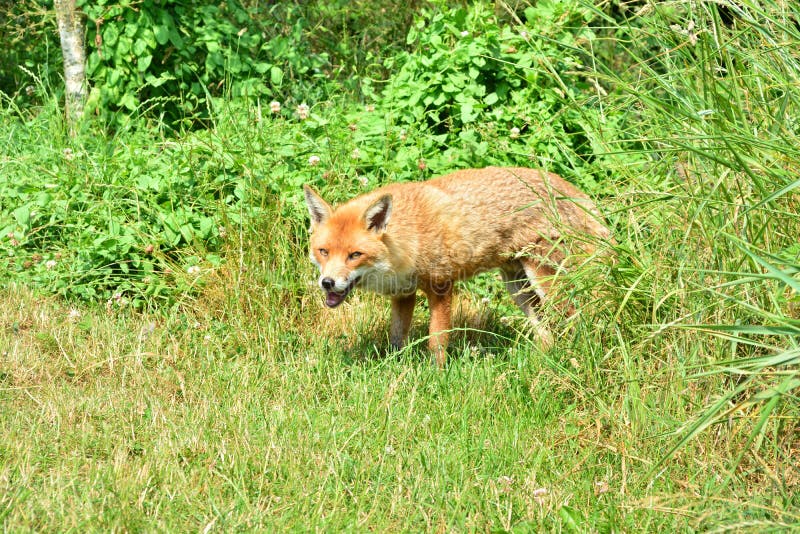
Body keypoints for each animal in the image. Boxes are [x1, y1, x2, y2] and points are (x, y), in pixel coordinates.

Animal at [303, 166, 611, 366]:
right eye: (323, 251)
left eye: (355, 255)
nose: (327, 283)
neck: (409, 238)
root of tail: (572, 190)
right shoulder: (403, 294)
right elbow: (396, 340)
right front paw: (394, 369)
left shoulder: (441, 286)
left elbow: (436, 341)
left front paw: (435, 376)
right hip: (519, 289)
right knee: (547, 331)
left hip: (547, 283)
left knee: (580, 318)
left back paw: (578, 357)